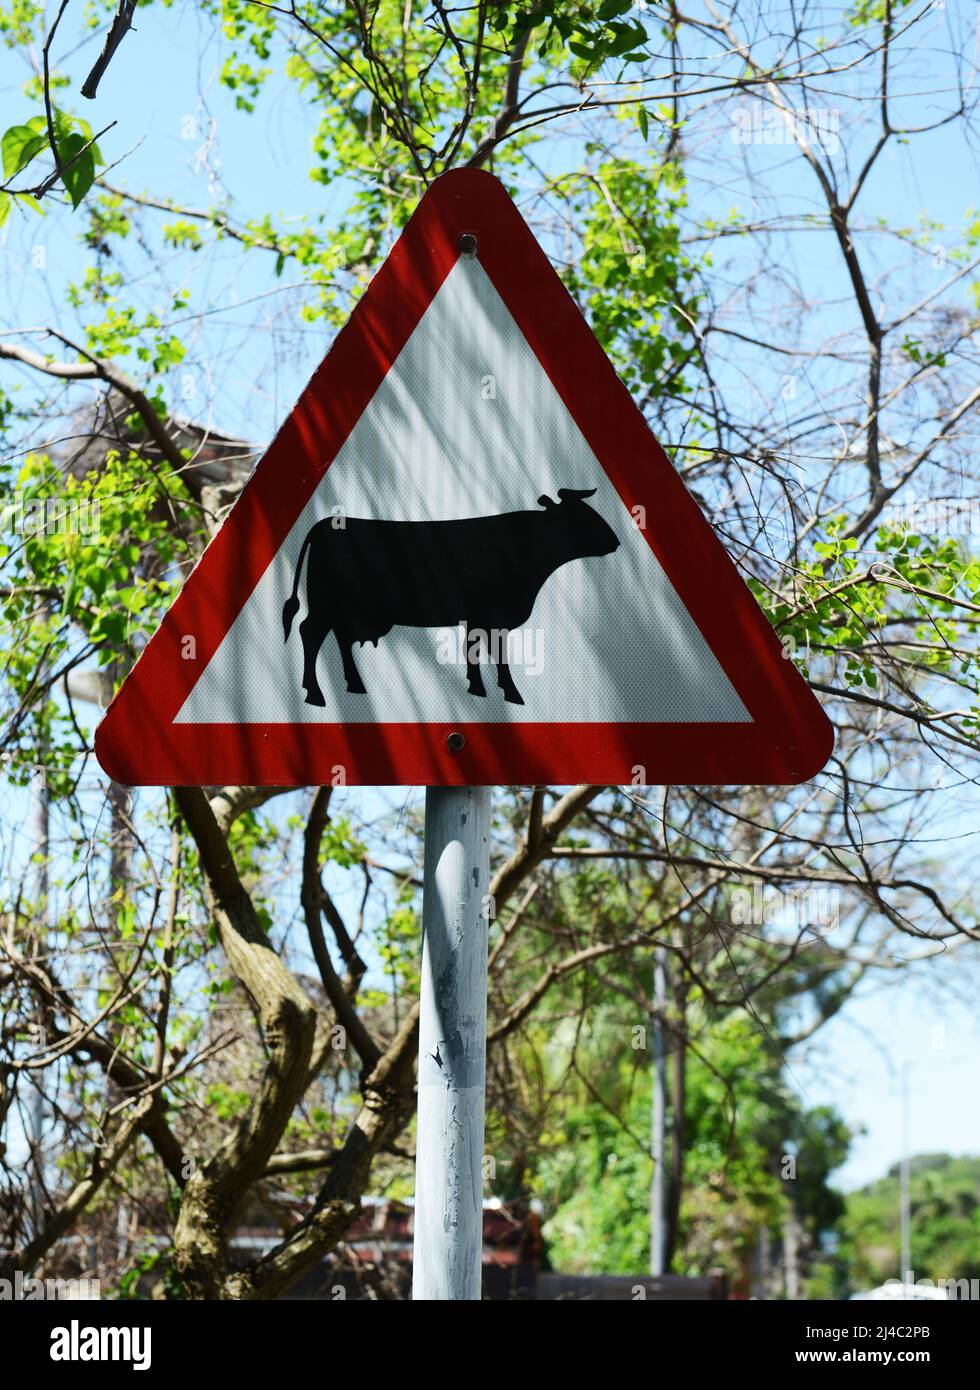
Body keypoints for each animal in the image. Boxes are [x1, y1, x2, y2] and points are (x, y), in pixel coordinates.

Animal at [282, 487, 620, 707]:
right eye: (579, 515)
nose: (616, 541)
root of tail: (324, 525)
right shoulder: (490, 615)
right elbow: (493, 655)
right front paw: (506, 692)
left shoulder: (478, 618)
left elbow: (478, 651)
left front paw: (482, 688)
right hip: (327, 604)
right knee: (310, 633)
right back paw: (315, 694)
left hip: (347, 610)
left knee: (339, 638)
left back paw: (354, 685)